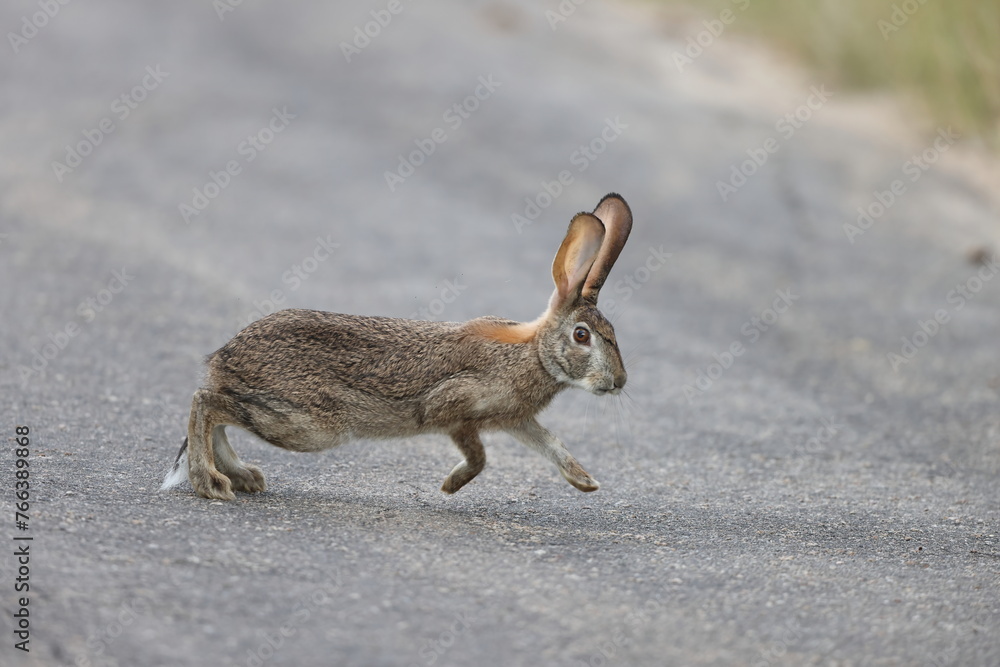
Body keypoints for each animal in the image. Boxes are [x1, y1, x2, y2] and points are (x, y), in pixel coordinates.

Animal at [160, 193, 632, 500]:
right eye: (582, 335)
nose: (620, 382)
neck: (534, 353)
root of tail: (224, 357)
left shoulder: (515, 419)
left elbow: (552, 444)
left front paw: (585, 483)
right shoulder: (453, 409)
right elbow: (479, 458)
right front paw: (450, 486)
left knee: (214, 405)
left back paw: (241, 476)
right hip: (309, 422)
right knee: (207, 402)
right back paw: (212, 484)